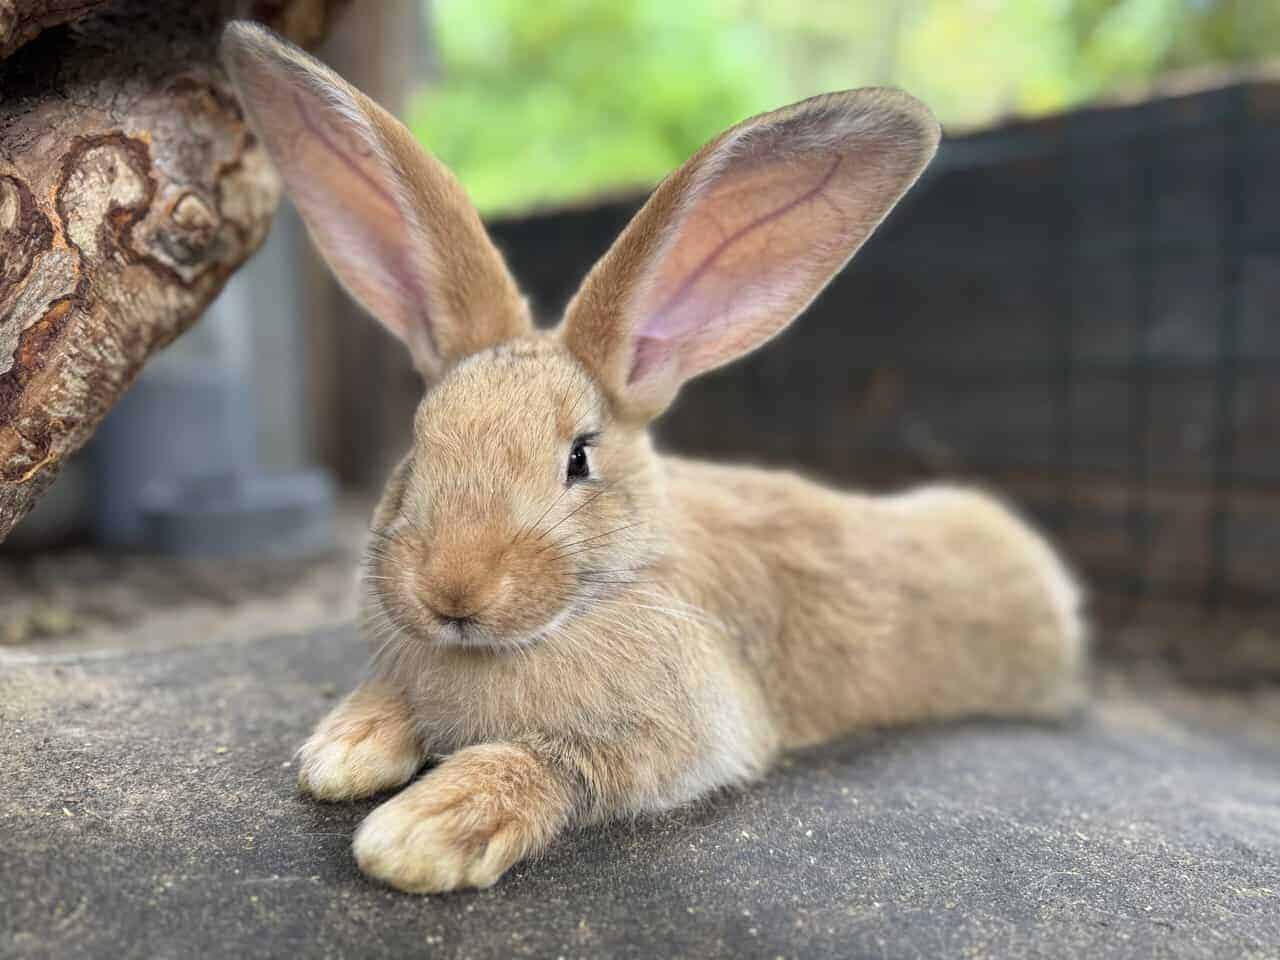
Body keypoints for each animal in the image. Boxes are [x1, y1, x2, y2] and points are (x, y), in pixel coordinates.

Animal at [222, 21, 1087, 895]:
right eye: (419, 439)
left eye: (578, 459)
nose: (451, 590)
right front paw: (342, 752)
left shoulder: (685, 730)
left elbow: (552, 763)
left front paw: (419, 833)